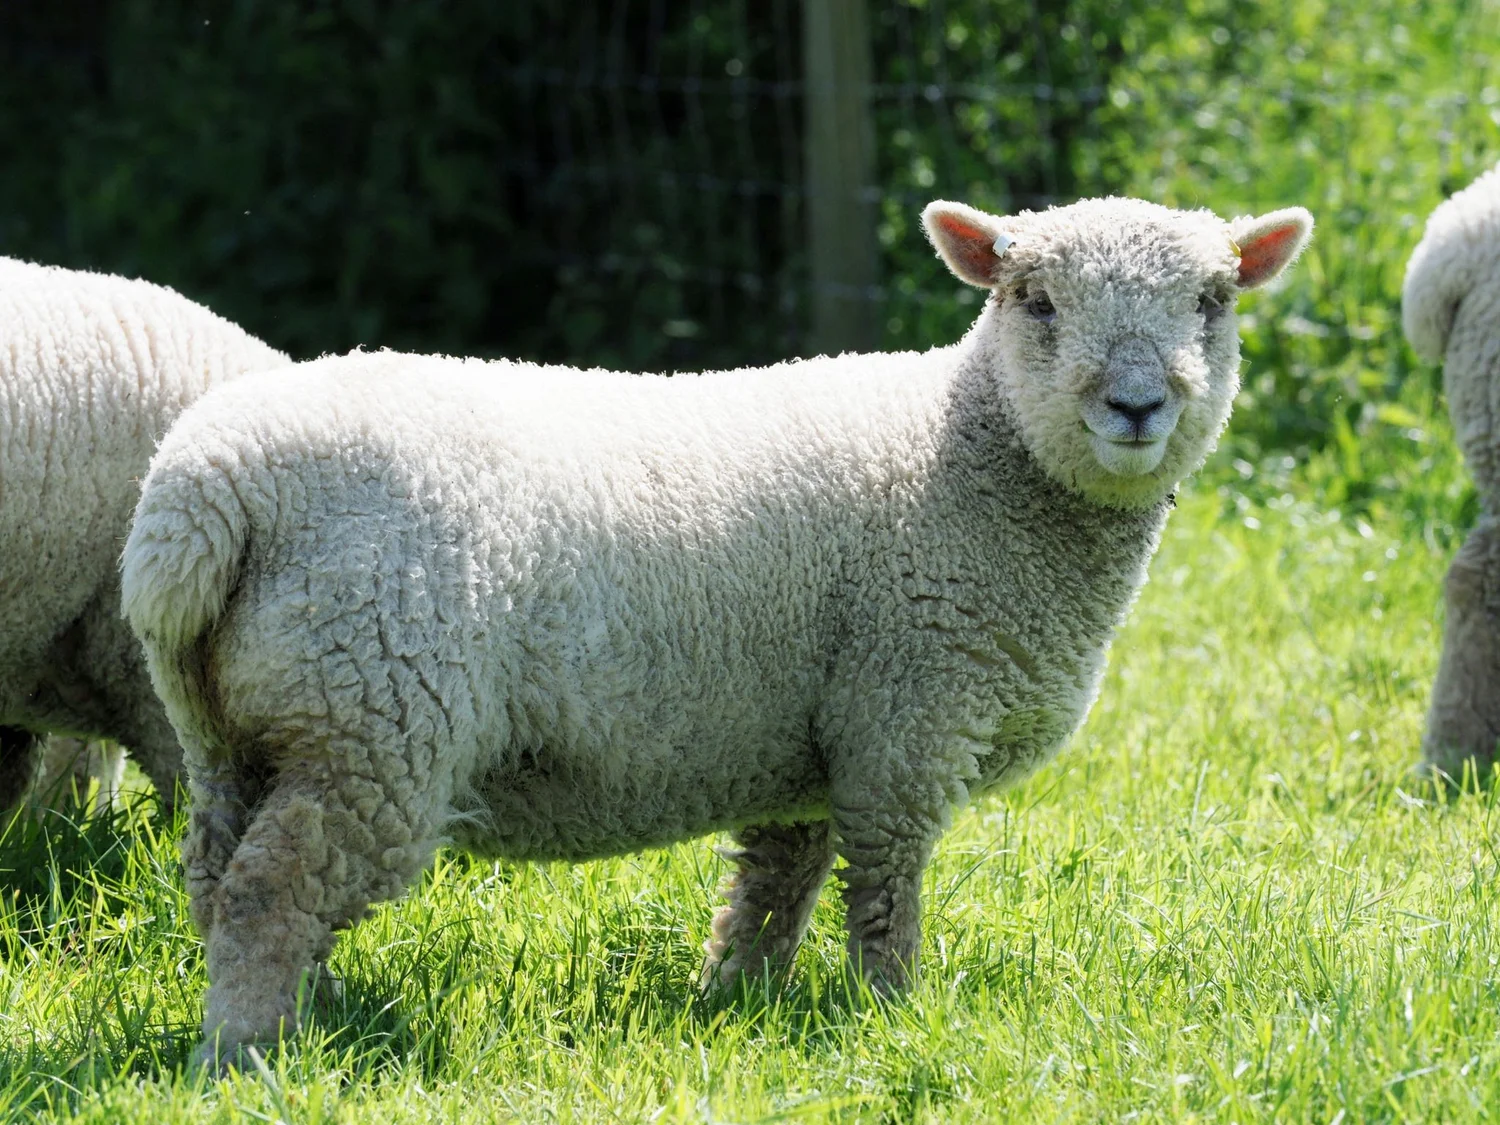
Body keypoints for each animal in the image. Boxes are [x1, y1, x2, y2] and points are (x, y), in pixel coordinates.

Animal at [121, 194, 1312, 1066]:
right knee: (274, 891)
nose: (1137, 405)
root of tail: (206, 491)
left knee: (222, 879)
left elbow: (775, 888)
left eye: (1213, 299)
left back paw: (298, 1016)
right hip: (374, 712)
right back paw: (247, 1055)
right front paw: (891, 1012)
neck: (973, 458)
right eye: (1036, 300)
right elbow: (886, 889)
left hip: (239, 725)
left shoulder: (812, 746)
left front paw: (737, 1003)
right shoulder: (904, 718)